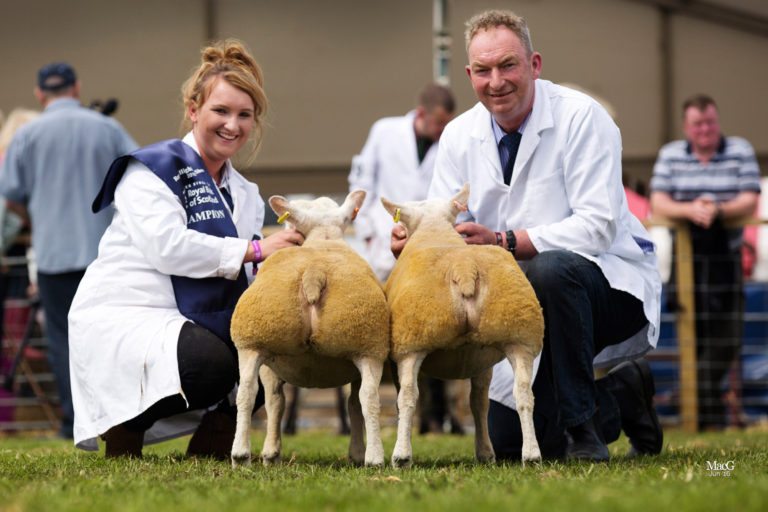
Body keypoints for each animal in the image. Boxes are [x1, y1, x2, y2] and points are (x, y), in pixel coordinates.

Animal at [230, 190, 390, 468]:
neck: (322, 238)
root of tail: (314, 273)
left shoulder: (270, 365)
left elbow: (275, 402)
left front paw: (270, 453)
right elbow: (353, 404)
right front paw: (356, 453)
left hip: (253, 342)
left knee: (247, 393)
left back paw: (240, 455)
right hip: (367, 345)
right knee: (369, 398)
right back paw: (374, 458)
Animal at [381, 183, 544, 467]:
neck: (435, 229)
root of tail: (464, 268)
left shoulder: (397, 357)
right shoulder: (482, 359)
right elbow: (479, 403)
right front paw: (485, 452)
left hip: (412, 340)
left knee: (409, 397)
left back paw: (402, 456)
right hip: (519, 334)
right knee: (524, 394)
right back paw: (532, 455)